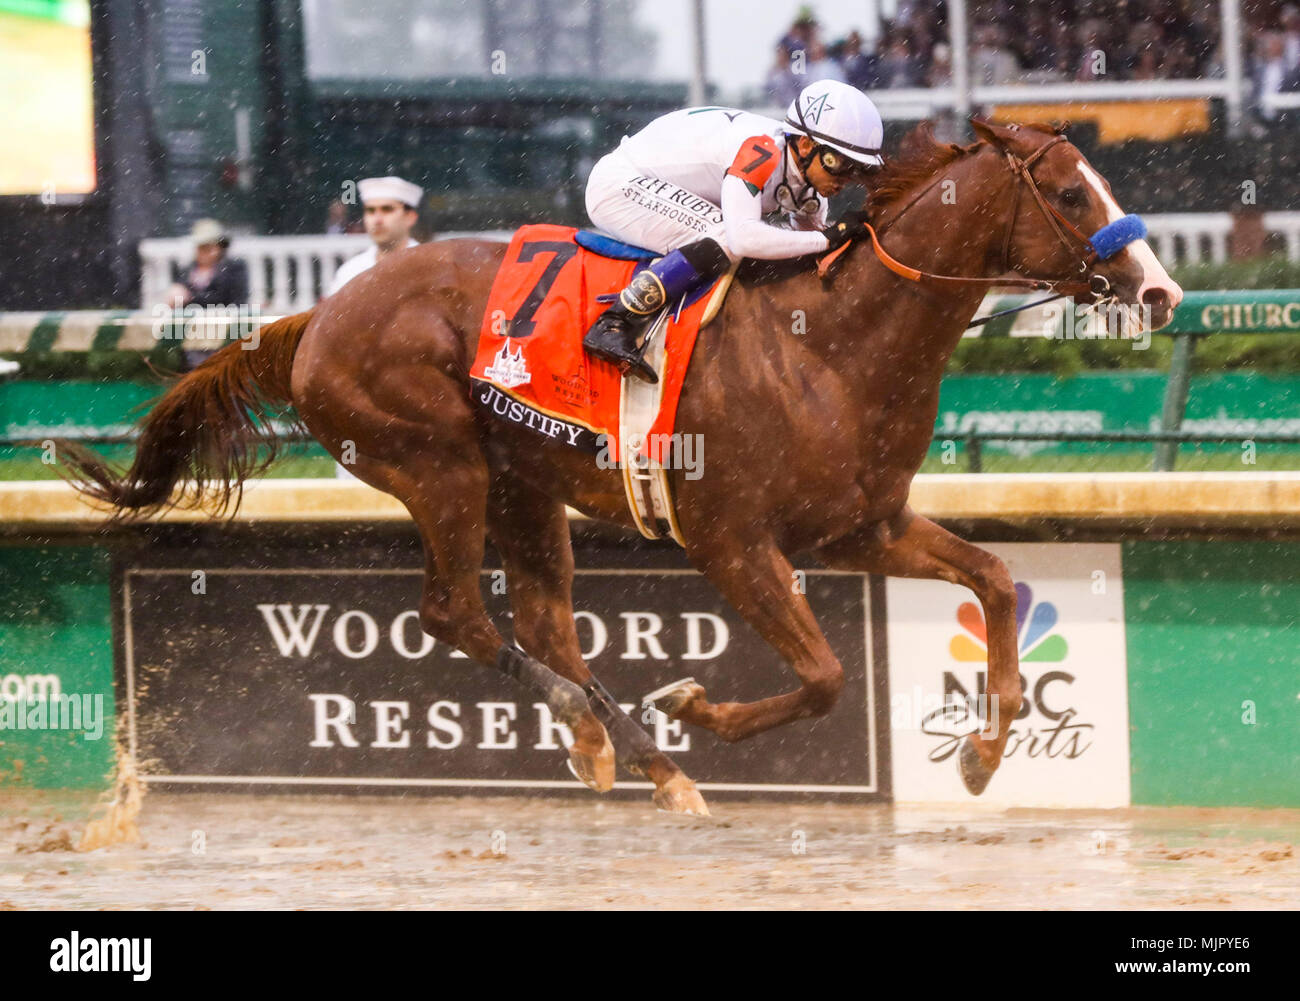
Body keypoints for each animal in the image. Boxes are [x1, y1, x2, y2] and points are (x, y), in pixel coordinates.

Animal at [62, 118, 1183, 816]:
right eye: (1073, 191)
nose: (1161, 291)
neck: (830, 344)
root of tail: (318, 315)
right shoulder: (732, 540)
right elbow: (823, 676)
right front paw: (693, 705)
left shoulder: (861, 524)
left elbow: (993, 578)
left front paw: (987, 749)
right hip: (439, 465)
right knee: (457, 612)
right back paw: (615, 738)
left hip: (523, 483)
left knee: (546, 621)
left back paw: (625, 754)